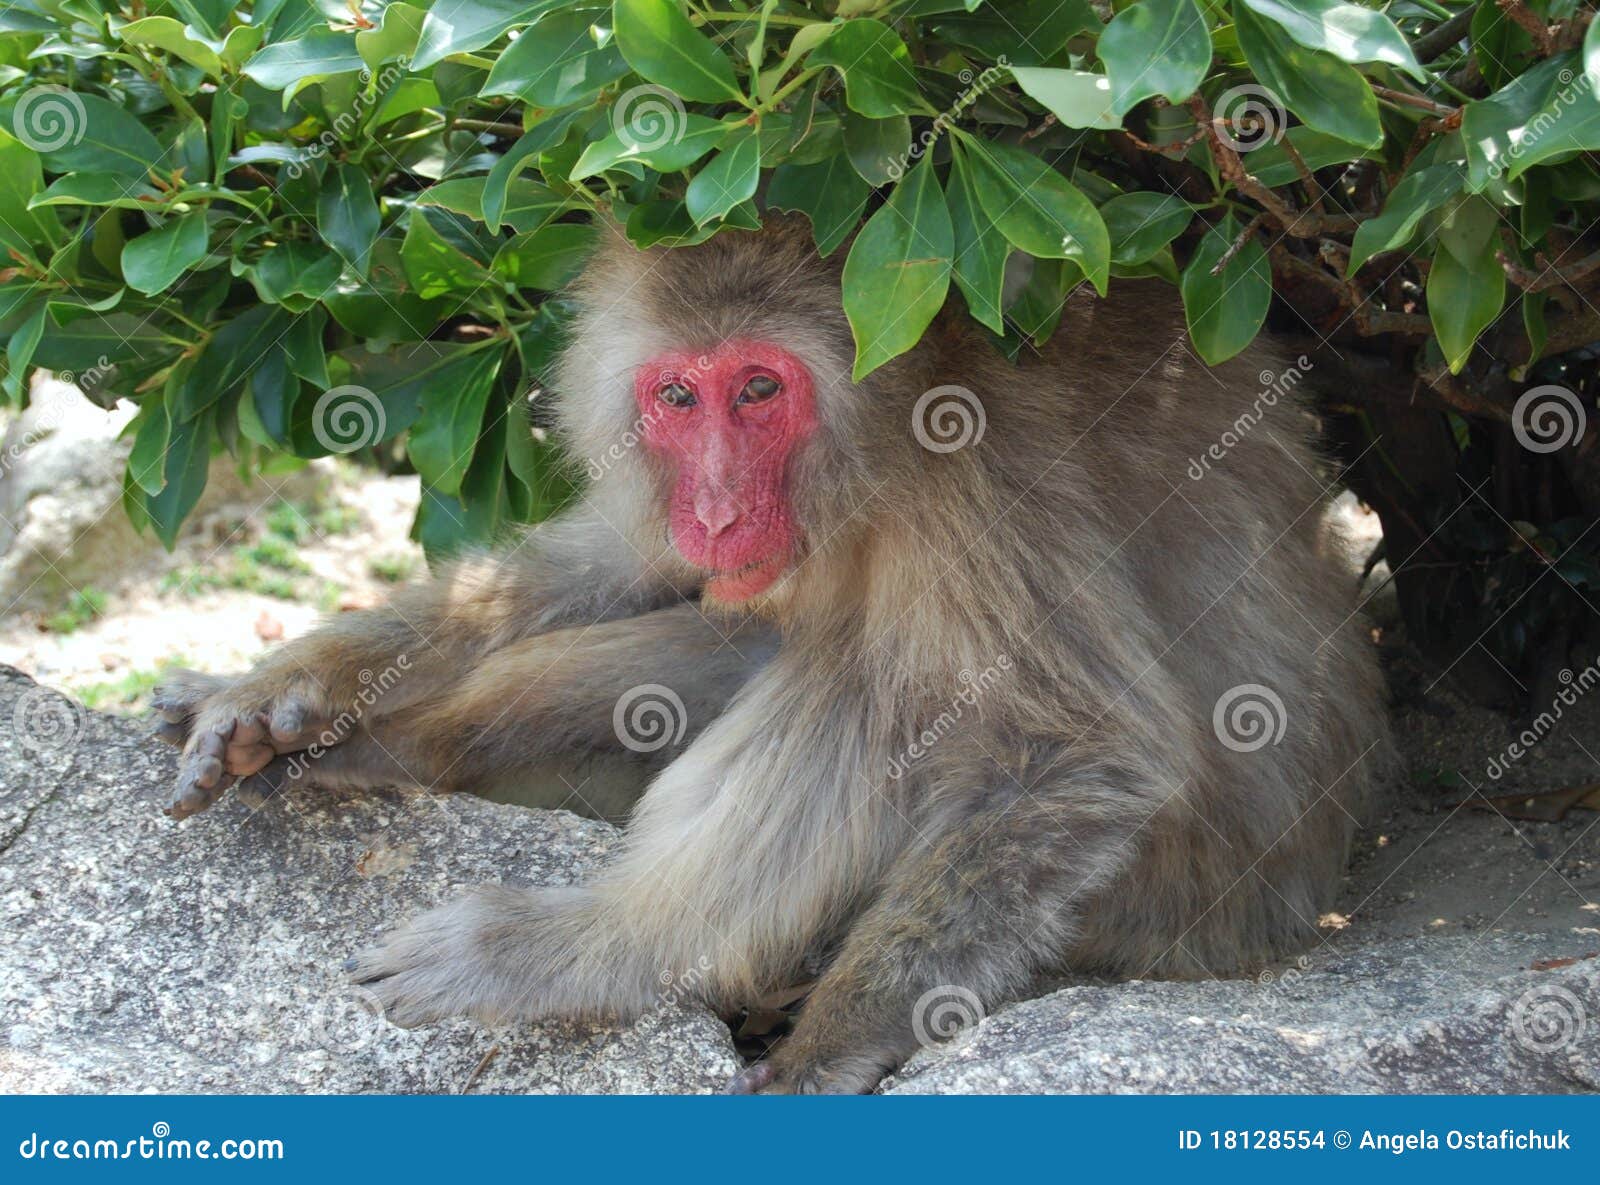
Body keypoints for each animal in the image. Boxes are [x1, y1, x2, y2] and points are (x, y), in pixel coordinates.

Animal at [152, 214, 1389, 1093]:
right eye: (676, 396)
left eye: (757, 391)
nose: (710, 508)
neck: (879, 442)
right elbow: (617, 558)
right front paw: (300, 679)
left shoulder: (975, 481)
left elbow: (1080, 752)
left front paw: (816, 1053)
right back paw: (410, 747)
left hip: (1180, 905)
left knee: (873, 686)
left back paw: (587, 950)